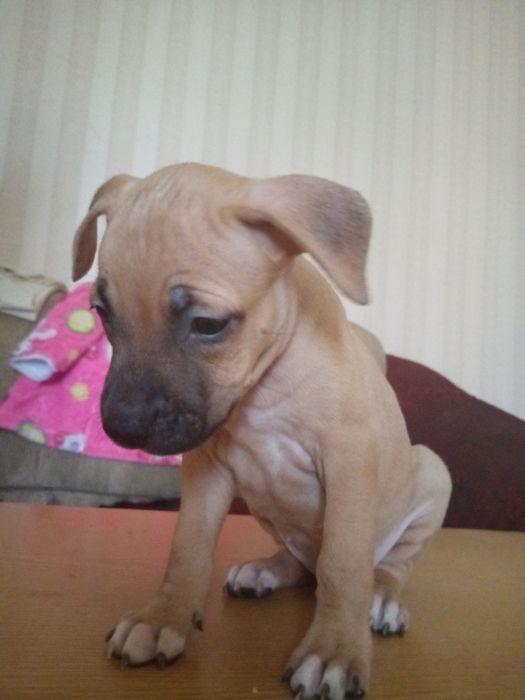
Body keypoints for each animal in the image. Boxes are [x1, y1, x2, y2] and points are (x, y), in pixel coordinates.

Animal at [72, 163, 451, 699]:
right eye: (102, 313)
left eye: (208, 324)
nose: (120, 427)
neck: (264, 387)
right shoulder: (207, 467)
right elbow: (188, 545)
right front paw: (163, 617)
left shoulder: (350, 461)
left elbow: (344, 564)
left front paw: (334, 650)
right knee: (302, 563)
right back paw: (267, 570)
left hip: (433, 473)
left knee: (382, 565)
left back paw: (383, 596)